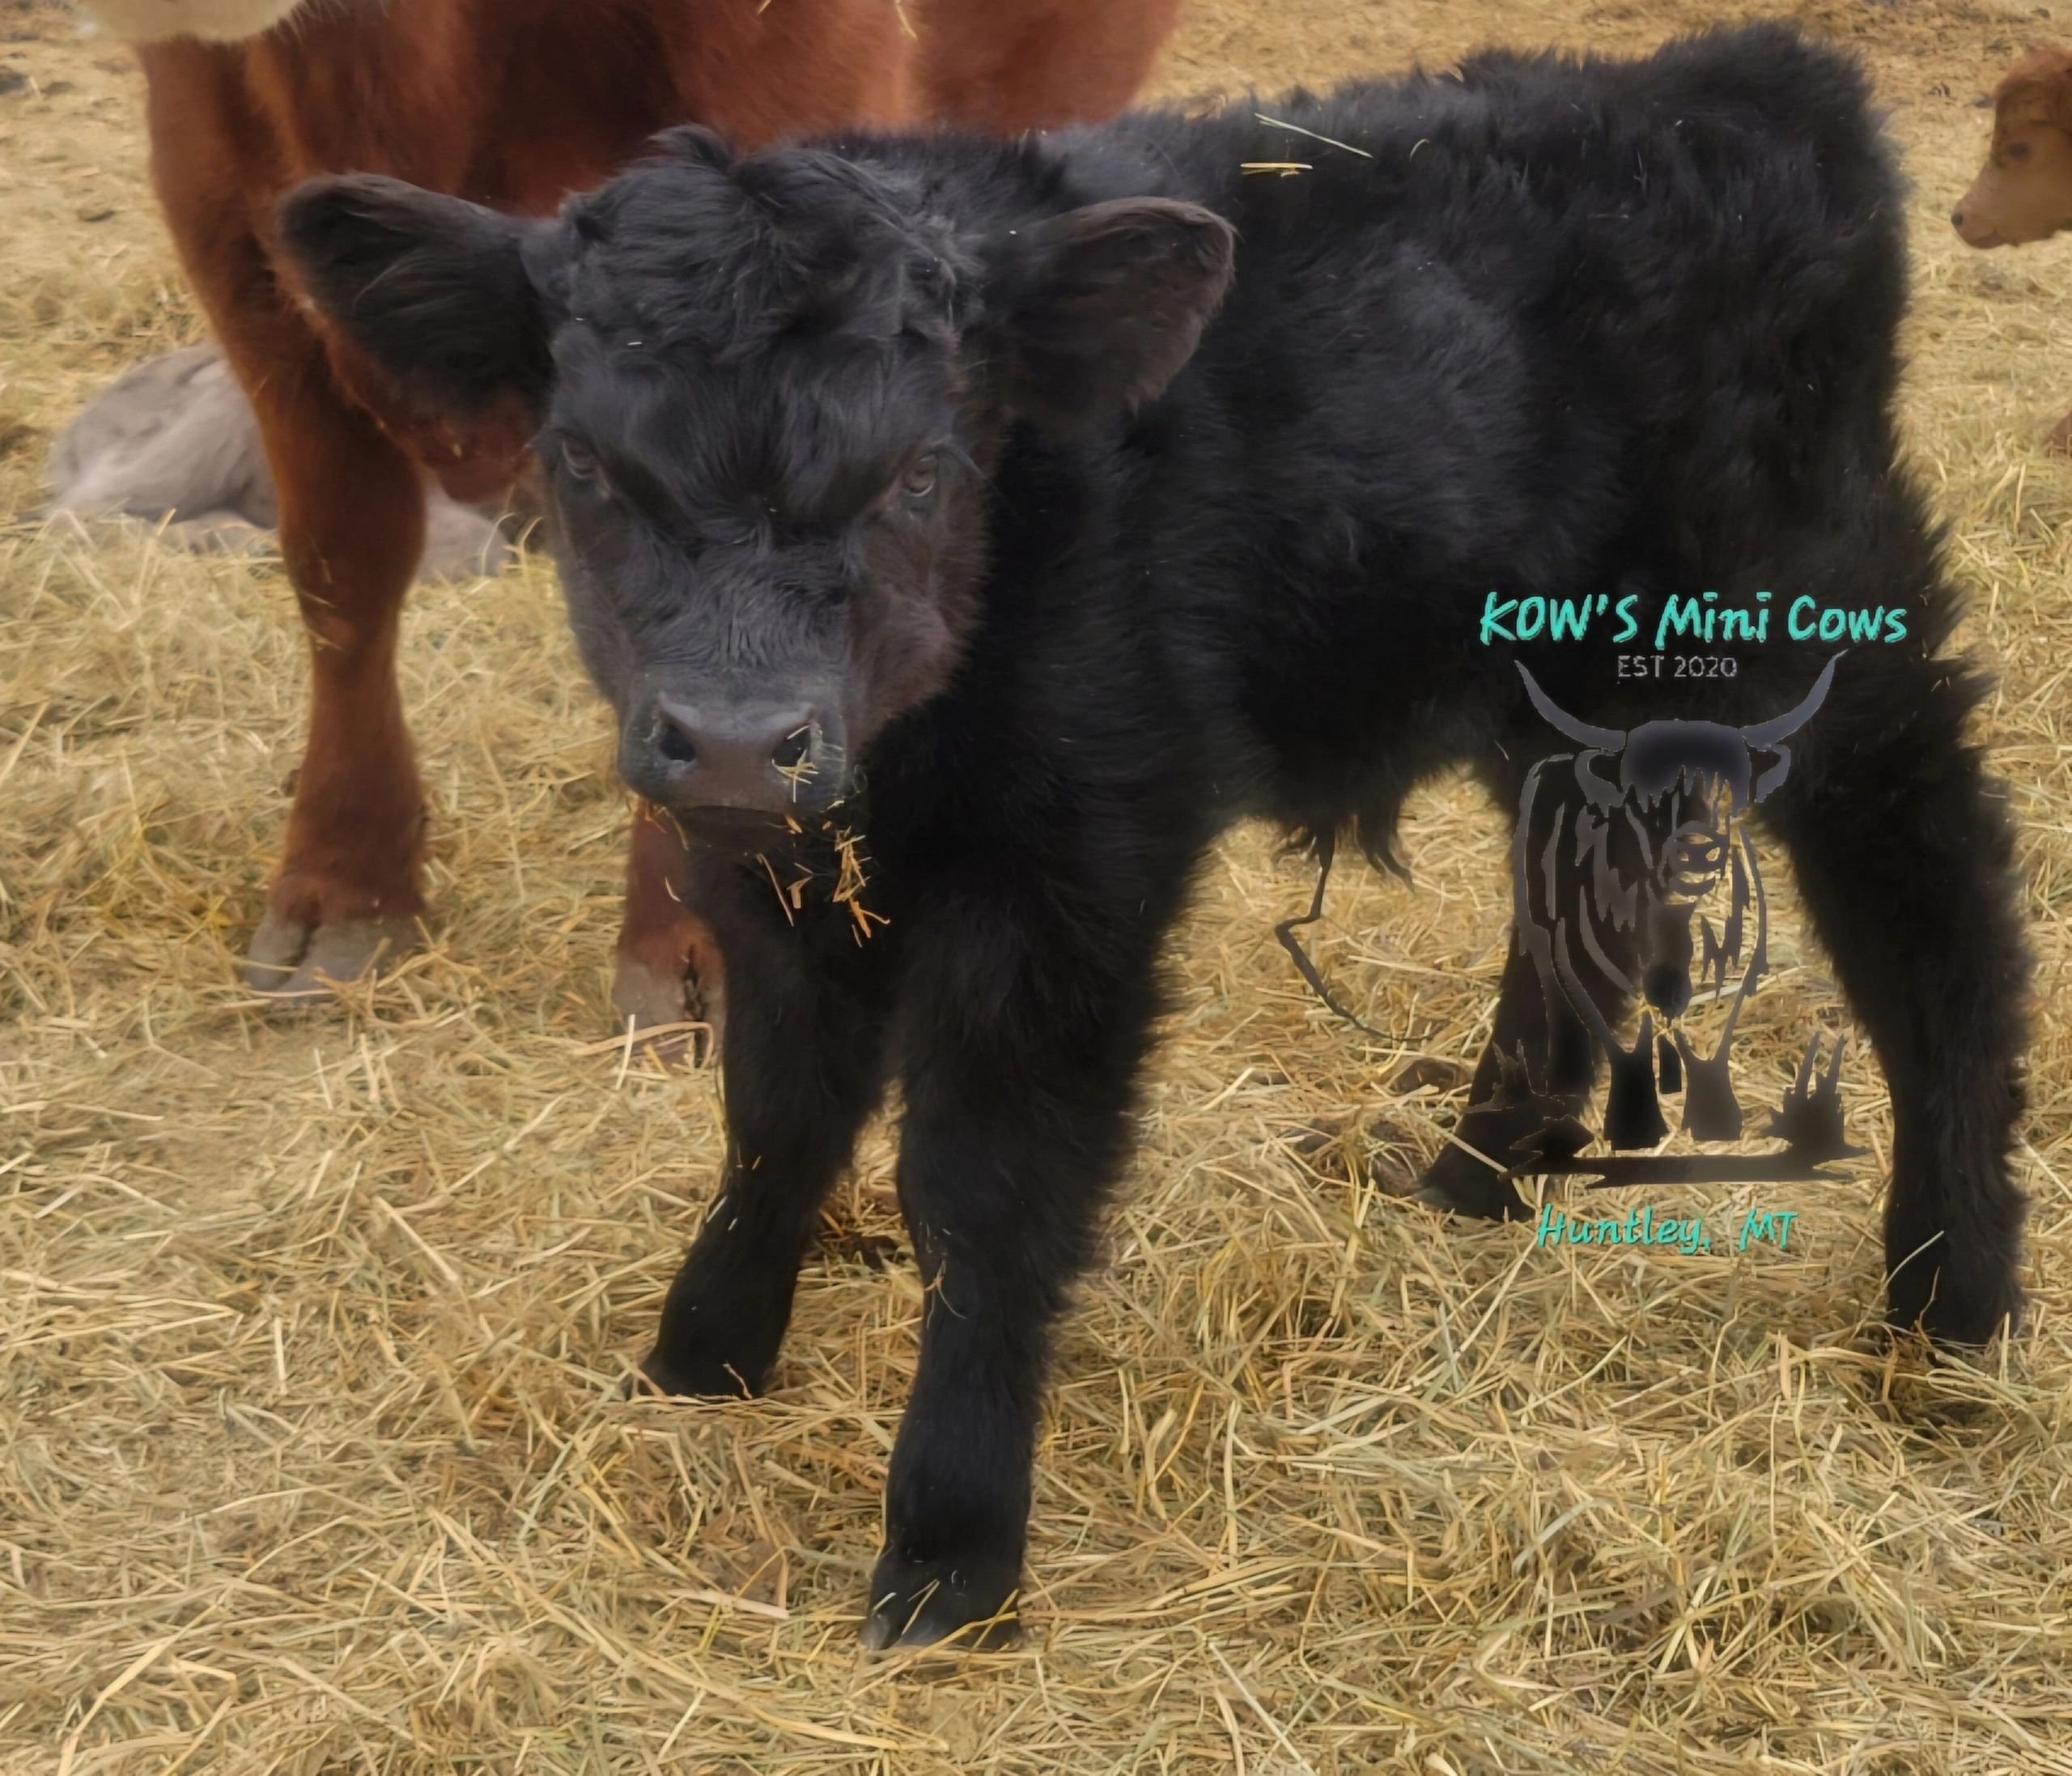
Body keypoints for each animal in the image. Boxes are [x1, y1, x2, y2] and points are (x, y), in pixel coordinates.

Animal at [278, 23, 2031, 1647]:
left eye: (923, 469)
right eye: (584, 461)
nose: (730, 730)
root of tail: (1737, 73)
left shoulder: (1075, 870)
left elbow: (986, 1179)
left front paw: (949, 1544)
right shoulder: (768, 877)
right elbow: (774, 1116)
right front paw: (700, 1352)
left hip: (1810, 610)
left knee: (1928, 879)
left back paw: (1950, 1287)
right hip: (1555, 679)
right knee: (1585, 886)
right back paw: (1483, 1169)